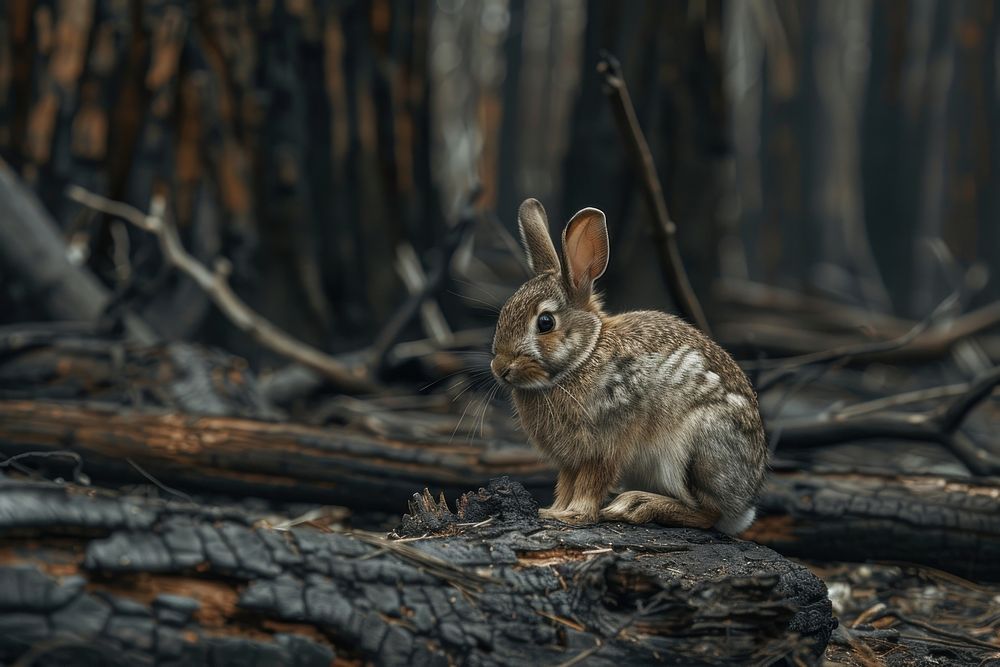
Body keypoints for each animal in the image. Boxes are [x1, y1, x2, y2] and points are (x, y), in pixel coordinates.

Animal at [490, 198, 768, 535]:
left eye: (545, 323)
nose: (500, 367)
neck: (583, 357)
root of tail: (743, 507)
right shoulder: (570, 459)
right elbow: (566, 483)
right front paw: (553, 511)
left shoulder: (605, 445)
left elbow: (591, 483)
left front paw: (574, 515)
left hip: (696, 448)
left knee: (707, 514)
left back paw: (637, 505)